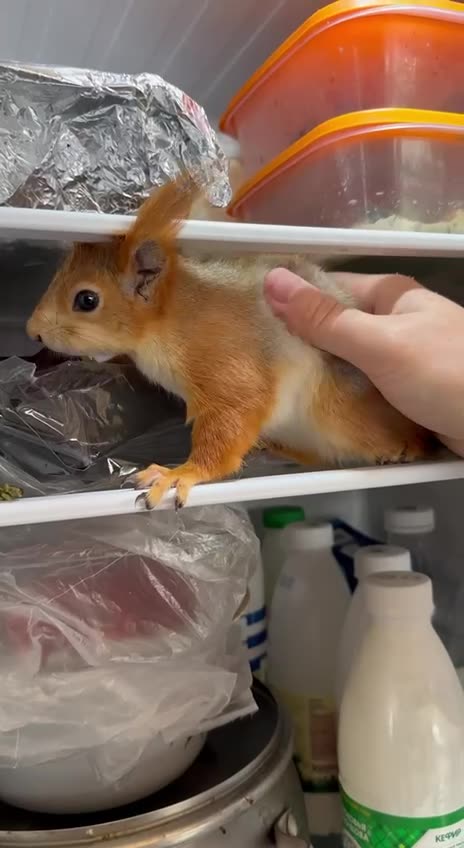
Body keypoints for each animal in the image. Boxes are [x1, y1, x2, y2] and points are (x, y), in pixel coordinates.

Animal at [27, 175, 434, 509]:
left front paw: (180, 473)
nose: (33, 331)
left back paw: (405, 448)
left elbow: (232, 418)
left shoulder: (229, 364)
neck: (172, 318)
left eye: (87, 300)